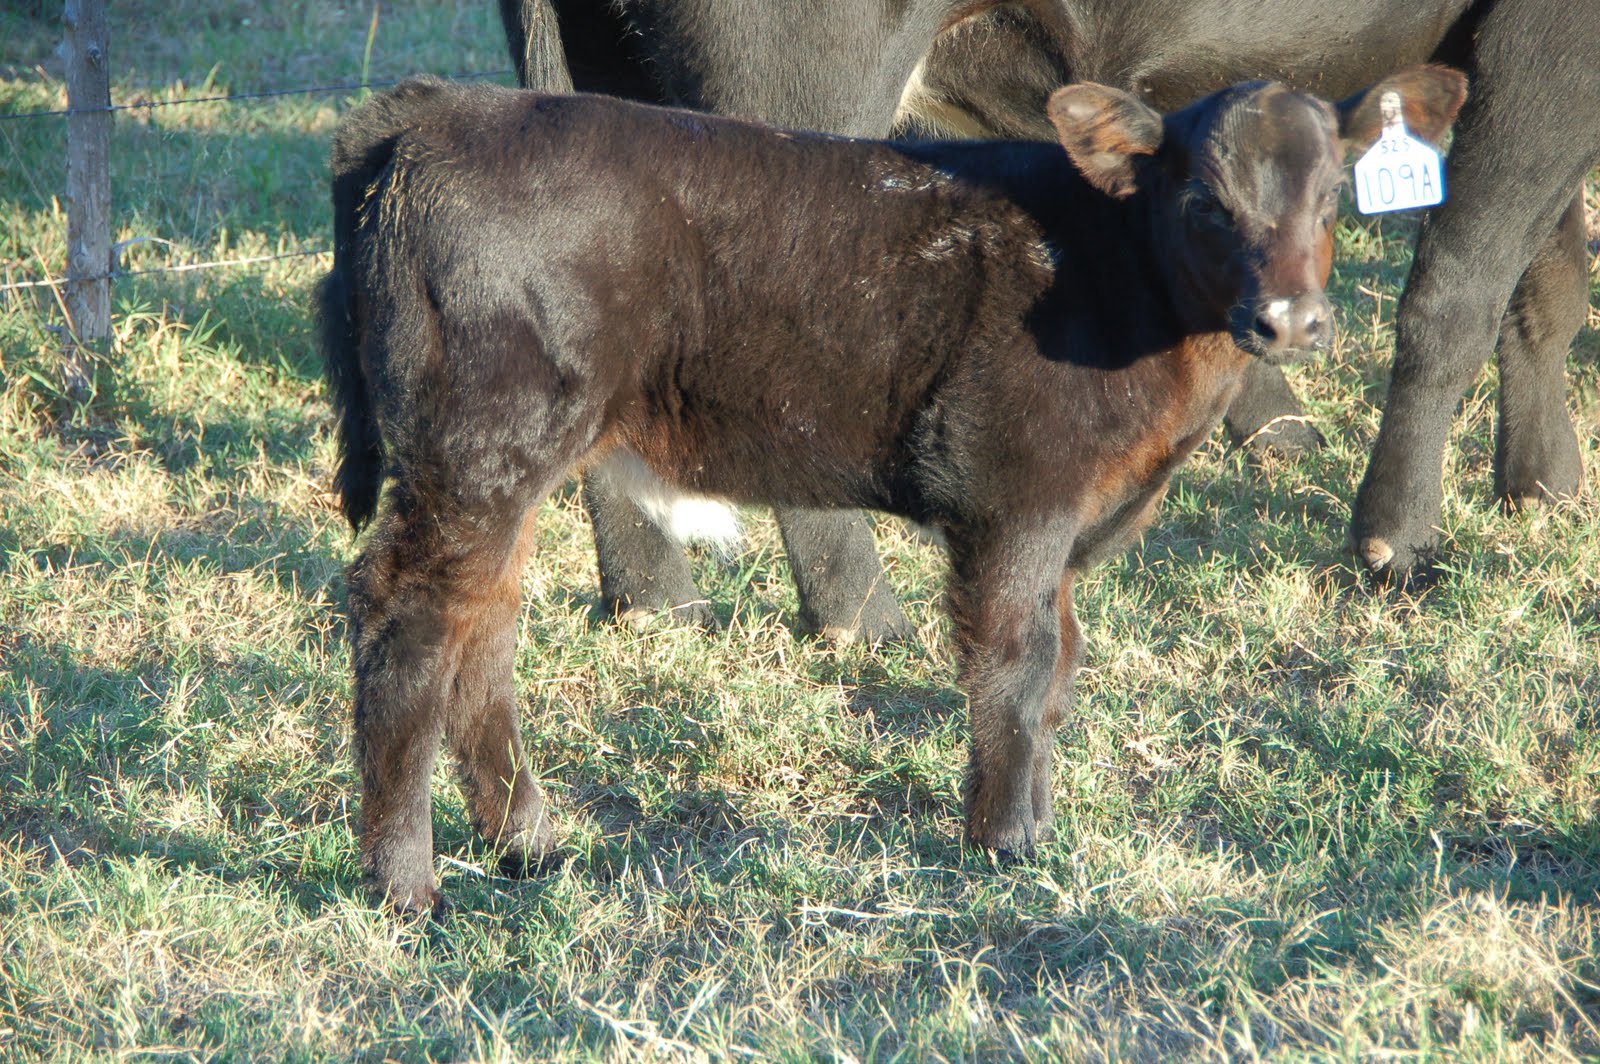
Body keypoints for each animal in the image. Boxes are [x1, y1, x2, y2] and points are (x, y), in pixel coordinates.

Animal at [319, 68, 1466, 914]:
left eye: (1332, 197)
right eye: (1204, 202)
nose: (1291, 321)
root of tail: (441, 110)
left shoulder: (1065, 527)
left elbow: (1059, 667)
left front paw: (1036, 825)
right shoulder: (1018, 499)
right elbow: (1016, 665)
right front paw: (1004, 844)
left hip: (502, 464)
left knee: (486, 625)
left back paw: (530, 844)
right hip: (478, 447)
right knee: (407, 619)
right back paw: (406, 884)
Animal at [500, 0, 1598, 615]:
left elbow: (1546, 280)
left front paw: (1542, 481)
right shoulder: (1546, 49)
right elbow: (1460, 290)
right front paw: (1396, 542)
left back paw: (653, 597)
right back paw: (858, 607)